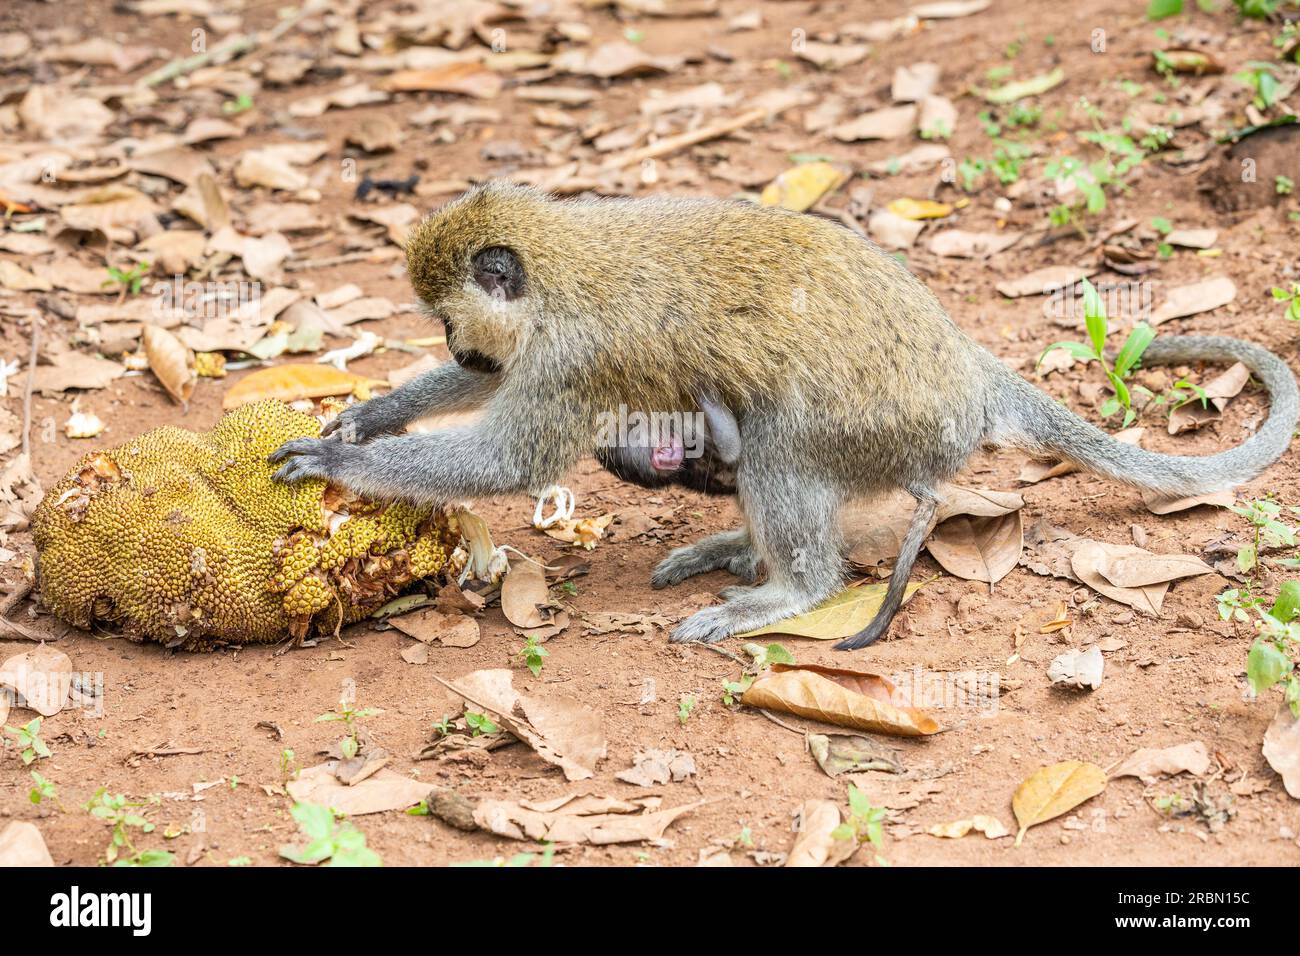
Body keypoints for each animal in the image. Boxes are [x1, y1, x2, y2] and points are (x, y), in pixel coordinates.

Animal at [270, 182, 1298, 650]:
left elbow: (506, 462)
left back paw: (788, 588)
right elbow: (491, 398)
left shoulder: (572, 357)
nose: (459, 348)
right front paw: (371, 416)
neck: (563, 266)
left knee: (781, 446)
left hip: (887, 428)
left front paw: (340, 466)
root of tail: (968, 375)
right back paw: (740, 551)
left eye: (449, 319)